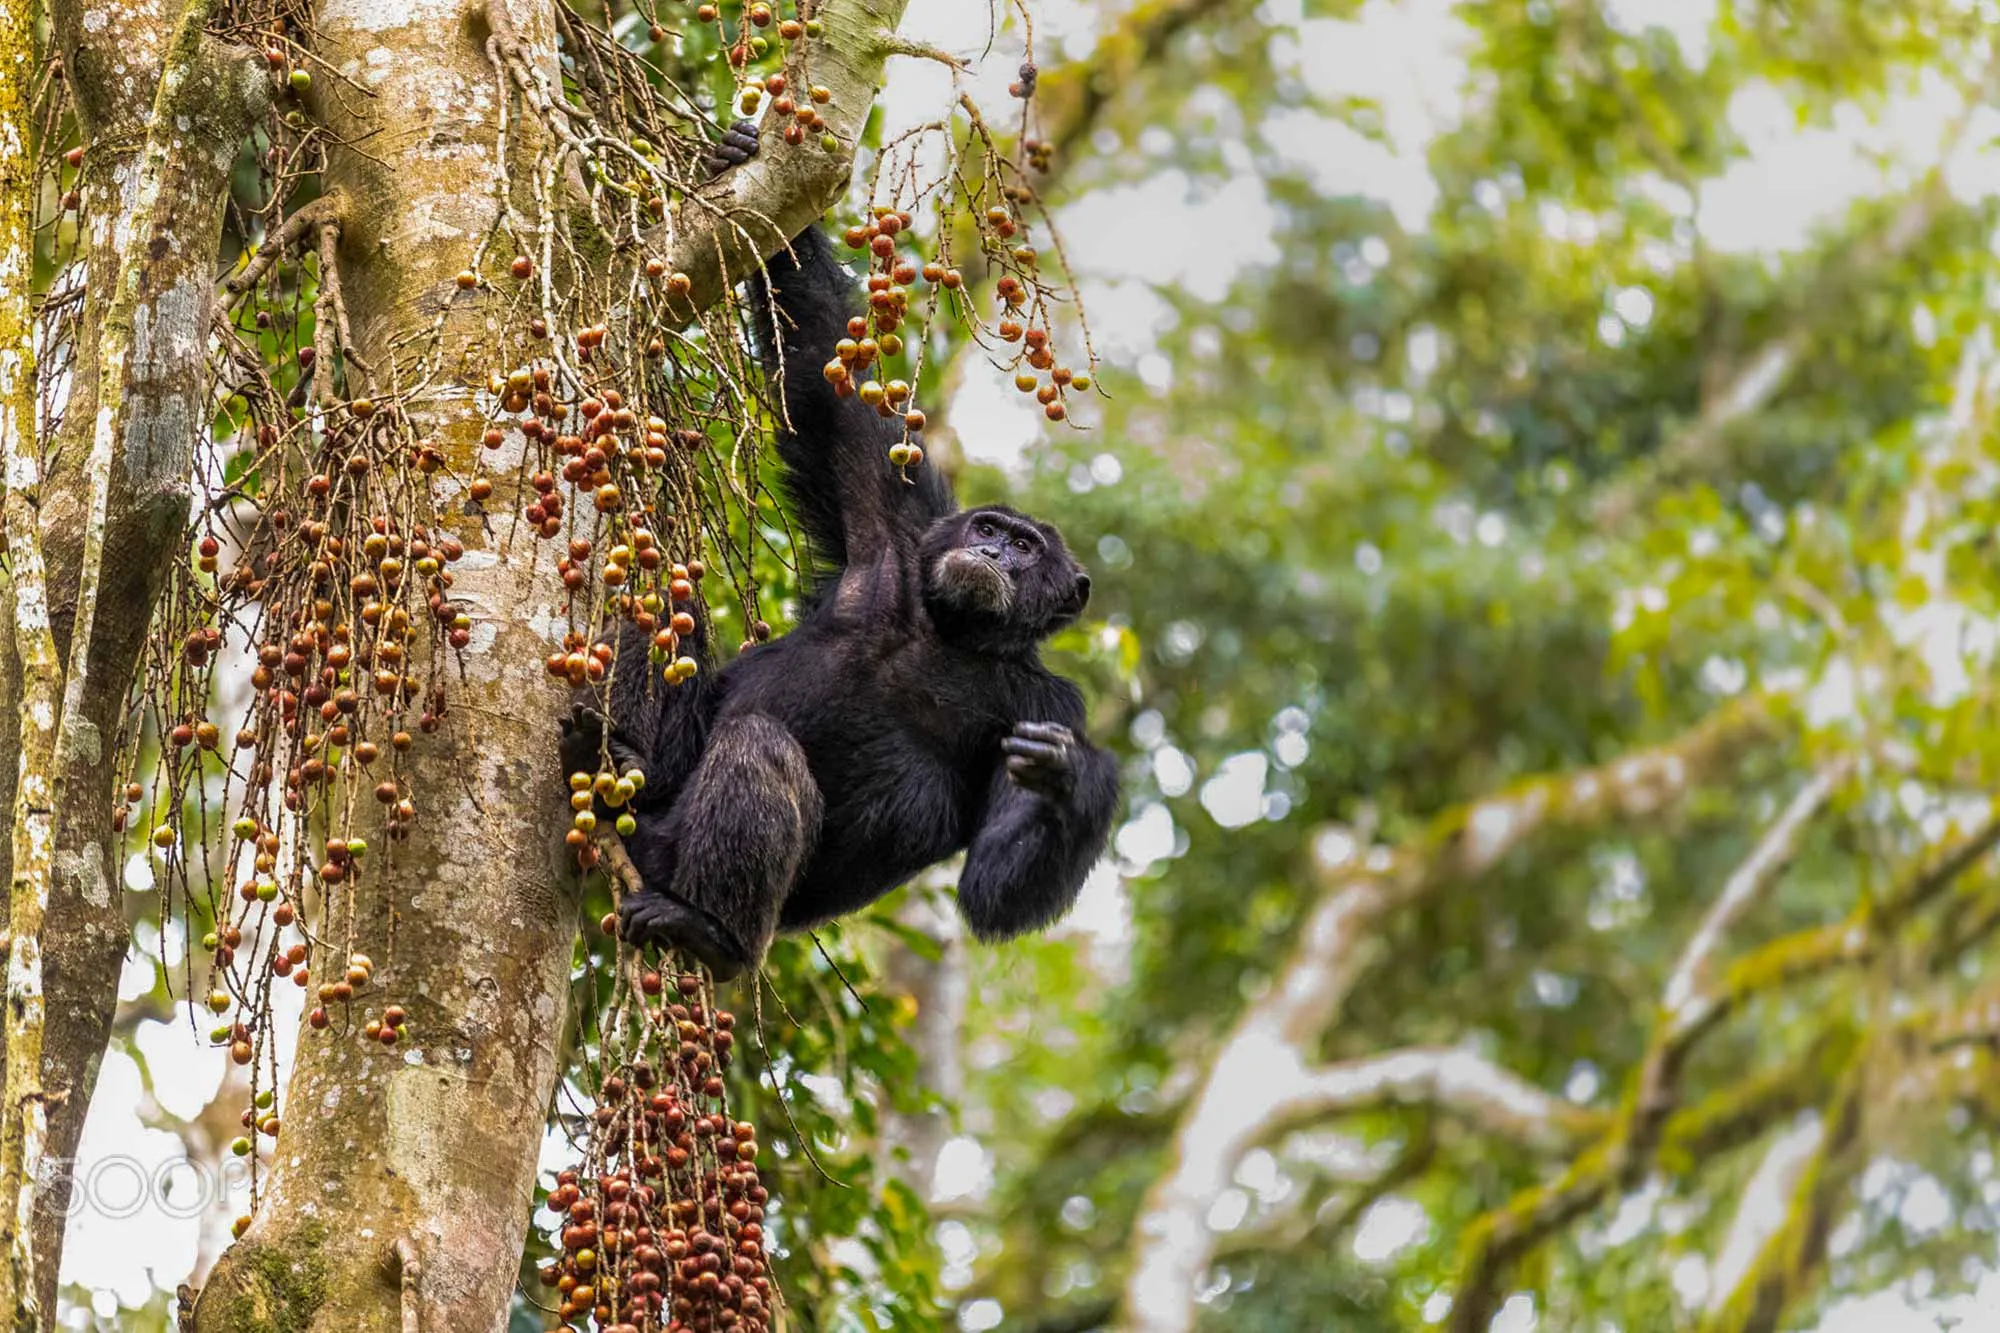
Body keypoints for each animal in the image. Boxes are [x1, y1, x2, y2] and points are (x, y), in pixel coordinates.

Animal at [561, 121, 1118, 982]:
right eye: (989, 530)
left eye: (1027, 549)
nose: (995, 555)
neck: (952, 632)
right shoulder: (893, 522)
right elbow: (827, 361)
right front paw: (742, 156)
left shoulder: (1051, 702)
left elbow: (993, 888)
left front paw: (1066, 777)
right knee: (662, 608)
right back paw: (621, 756)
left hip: (674, 868)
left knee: (754, 750)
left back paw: (703, 928)